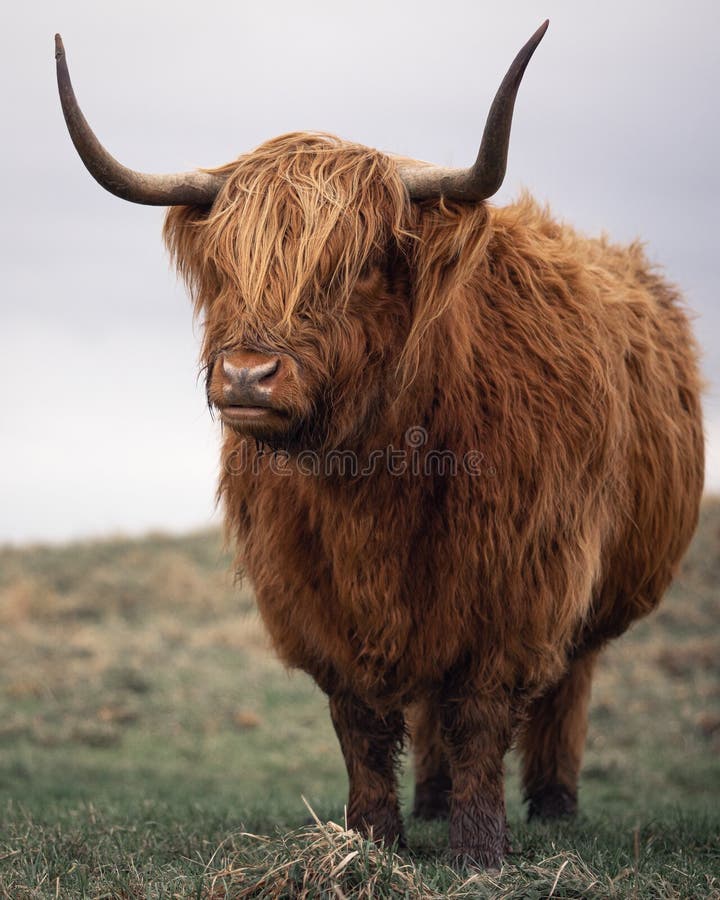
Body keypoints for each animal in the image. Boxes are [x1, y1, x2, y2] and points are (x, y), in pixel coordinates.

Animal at [55, 21, 704, 867]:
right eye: (226, 268)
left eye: (358, 267)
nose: (247, 375)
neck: (370, 483)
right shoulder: (312, 596)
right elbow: (361, 722)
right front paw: (371, 837)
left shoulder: (520, 583)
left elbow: (482, 716)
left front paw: (478, 850)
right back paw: (428, 801)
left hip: (588, 592)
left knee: (568, 682)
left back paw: (554, 805)